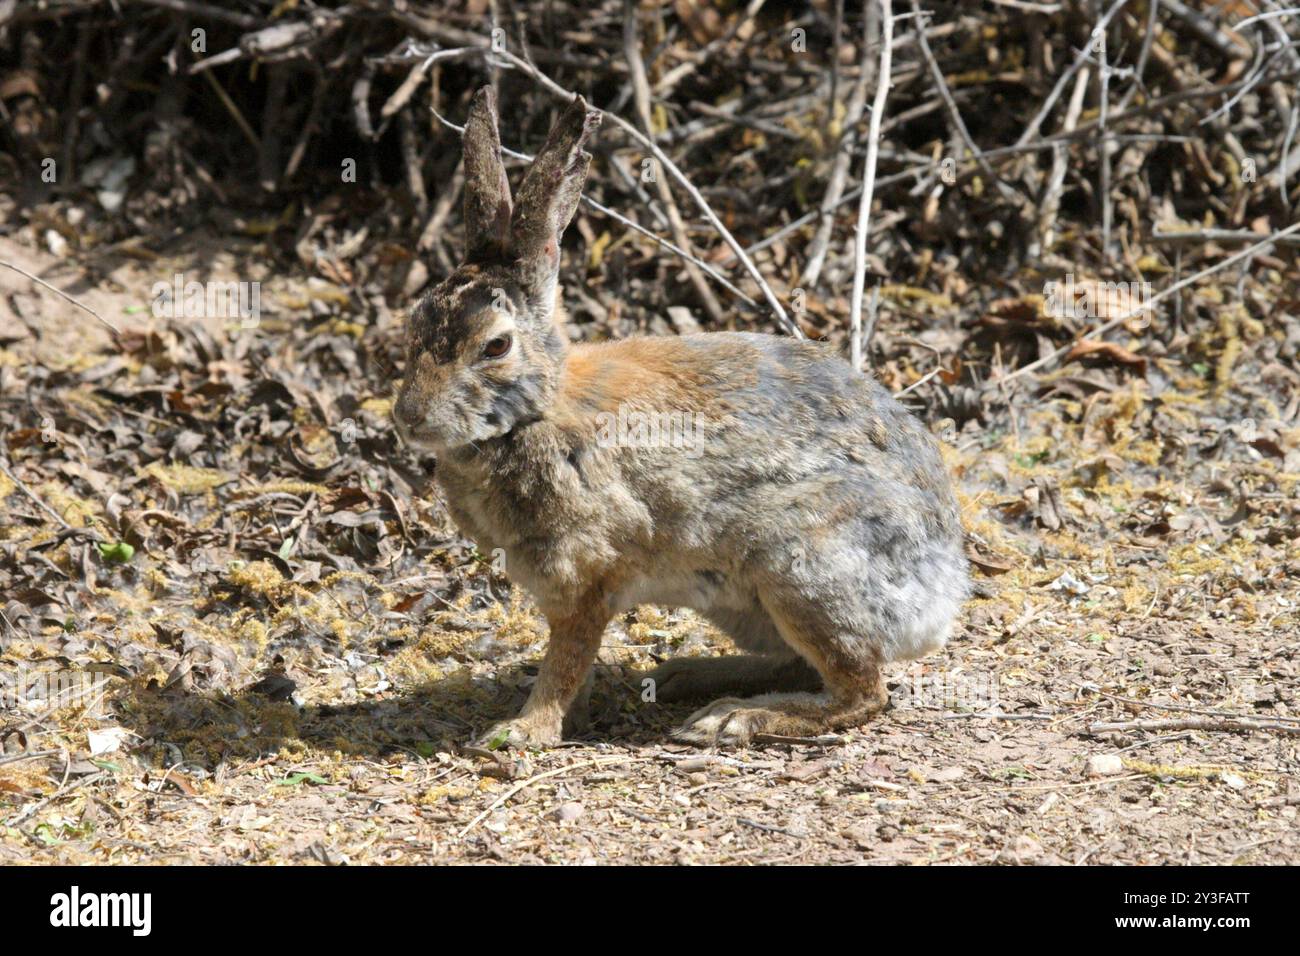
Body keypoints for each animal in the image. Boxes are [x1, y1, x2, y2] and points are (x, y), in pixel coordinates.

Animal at [392, 86, 970, 749]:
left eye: (495, 347)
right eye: (415, 324)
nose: (409, 417)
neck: (536, 414)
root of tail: (944, 588)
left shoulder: (588, 575)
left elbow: (566, 659)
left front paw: (523, 732)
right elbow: (574, 665)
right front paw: (566, 718)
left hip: (802, 566)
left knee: (863, 692)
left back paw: (734, 717)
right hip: (747, 601)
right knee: (805, 667)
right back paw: (687, 676)